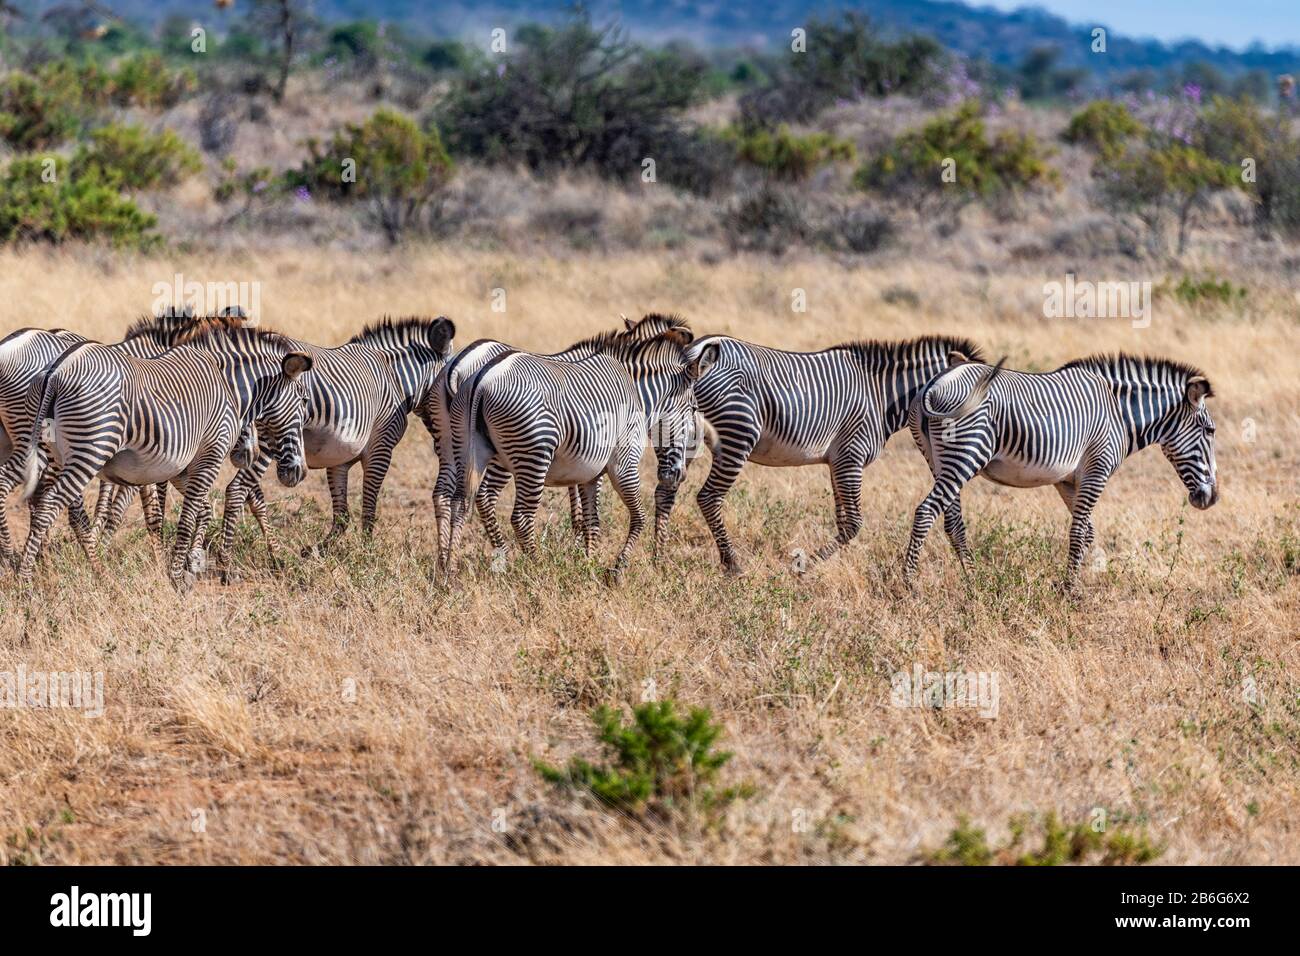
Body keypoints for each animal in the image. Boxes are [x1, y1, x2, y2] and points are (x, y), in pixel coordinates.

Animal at [14, 325, 313, 590]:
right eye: (303, 402)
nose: (299, 472)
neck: (226, 384)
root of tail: (56, 370)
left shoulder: (182, 468)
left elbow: (202, 511)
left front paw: (192, 564)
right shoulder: (210, 455)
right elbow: (189, 515)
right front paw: (181, 577)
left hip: (55, 455)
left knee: (52, 505)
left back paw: (79, 572)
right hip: (91, 450)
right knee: (49, 505)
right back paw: (29, 582)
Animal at [203, 315, 455, 577]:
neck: (396, 379)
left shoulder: (339, 461)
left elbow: (342, 515)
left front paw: (314, 551)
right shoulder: (380, 450)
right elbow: (369, 510)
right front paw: (368, 555)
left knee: (250, 493)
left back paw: (272, 556)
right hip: (270, 439)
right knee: (237, 489)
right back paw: (226, 563)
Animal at [445, 314, 709, 582]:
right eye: (694, 408)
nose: (678, 475)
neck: (636, 390)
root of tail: (482, 377)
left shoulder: (588, 471)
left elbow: (591, 520)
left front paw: (588, 565)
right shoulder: (623, 464)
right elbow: (638, 517)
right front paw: (616, 569)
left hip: (467, 447)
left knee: (460, 503)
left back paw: (452, 572)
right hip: (532, 455)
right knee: (520, 515)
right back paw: (537, 569)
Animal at [675, 333, 985, 573]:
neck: (880, 395)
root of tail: (694, 352)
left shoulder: (837, 462)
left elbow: (842, 520)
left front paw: (836, 568)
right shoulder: (851, 457)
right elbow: (854, 523)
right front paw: (804, 567)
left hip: (684, 436)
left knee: (670, 487)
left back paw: (665, 556)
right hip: (737, 435)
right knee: (709, 497)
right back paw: (732, 564)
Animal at [903, 352, 1218, 587]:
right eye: (1210, 431)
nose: (1211, 498)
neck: (1119, 412)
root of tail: (934, 383)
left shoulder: (1067, 481)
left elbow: (1087, 532)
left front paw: (1081, 580)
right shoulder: (1097, 469)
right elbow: (1078, 532)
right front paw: (1069, 592)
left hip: (938, 460)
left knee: (953, 522)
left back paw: (974, 579)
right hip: (965, 455)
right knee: (926, 512)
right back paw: (909, 584)